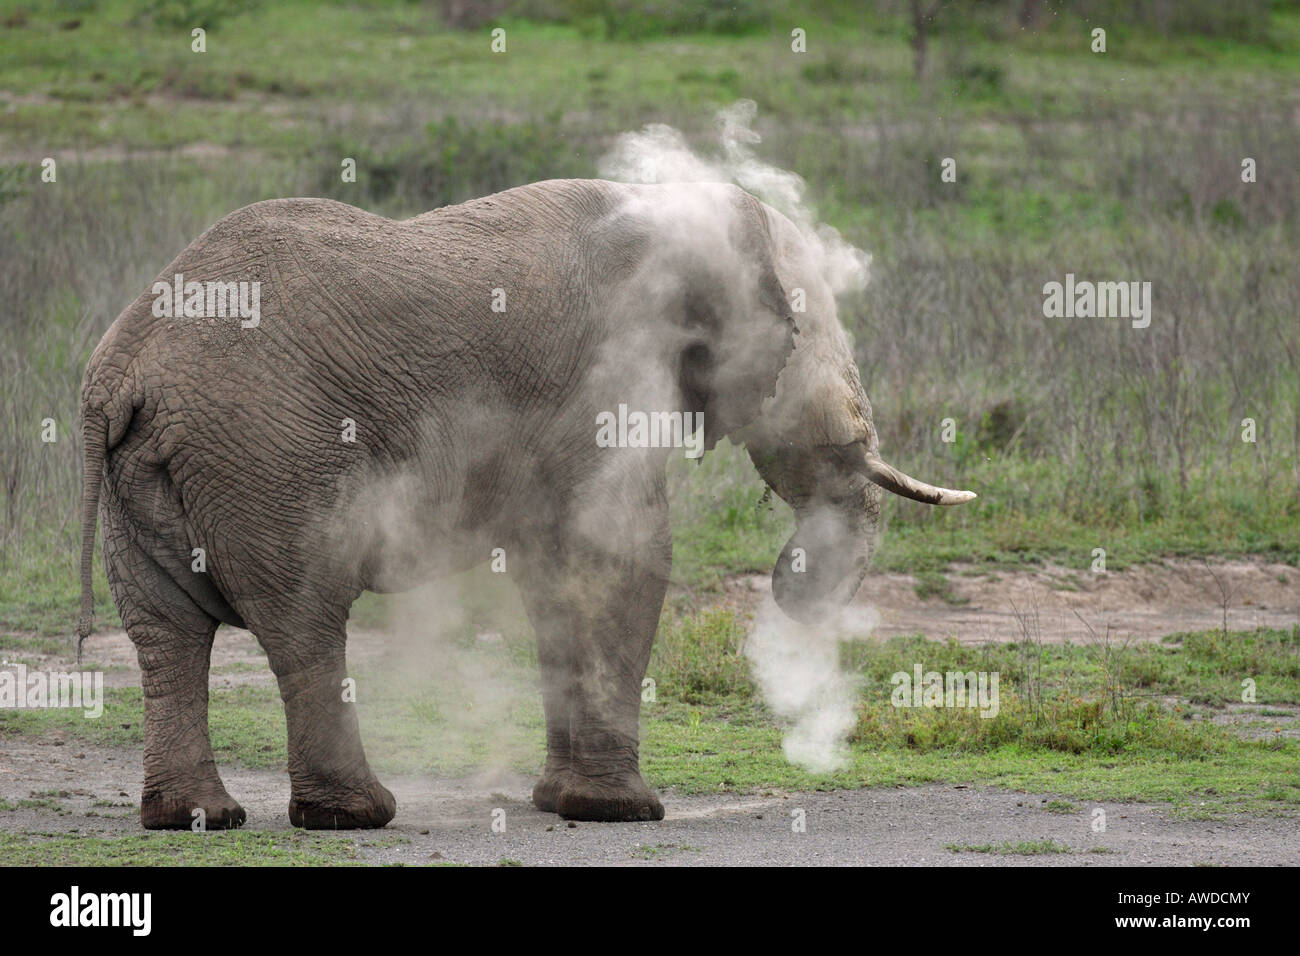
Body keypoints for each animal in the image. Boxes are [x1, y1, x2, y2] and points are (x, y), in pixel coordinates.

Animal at [76, 178, 974, 829]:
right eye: (814, 330)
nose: (789, 588)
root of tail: (127, 366)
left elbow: (562, 576)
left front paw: (565, 806)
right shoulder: (606, 378)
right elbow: (621, 556)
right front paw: (622, 813)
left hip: (156, 475)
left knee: (165, 636)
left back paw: (196, 819)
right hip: (270, 456)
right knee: (305, 623)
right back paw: (357, 816)